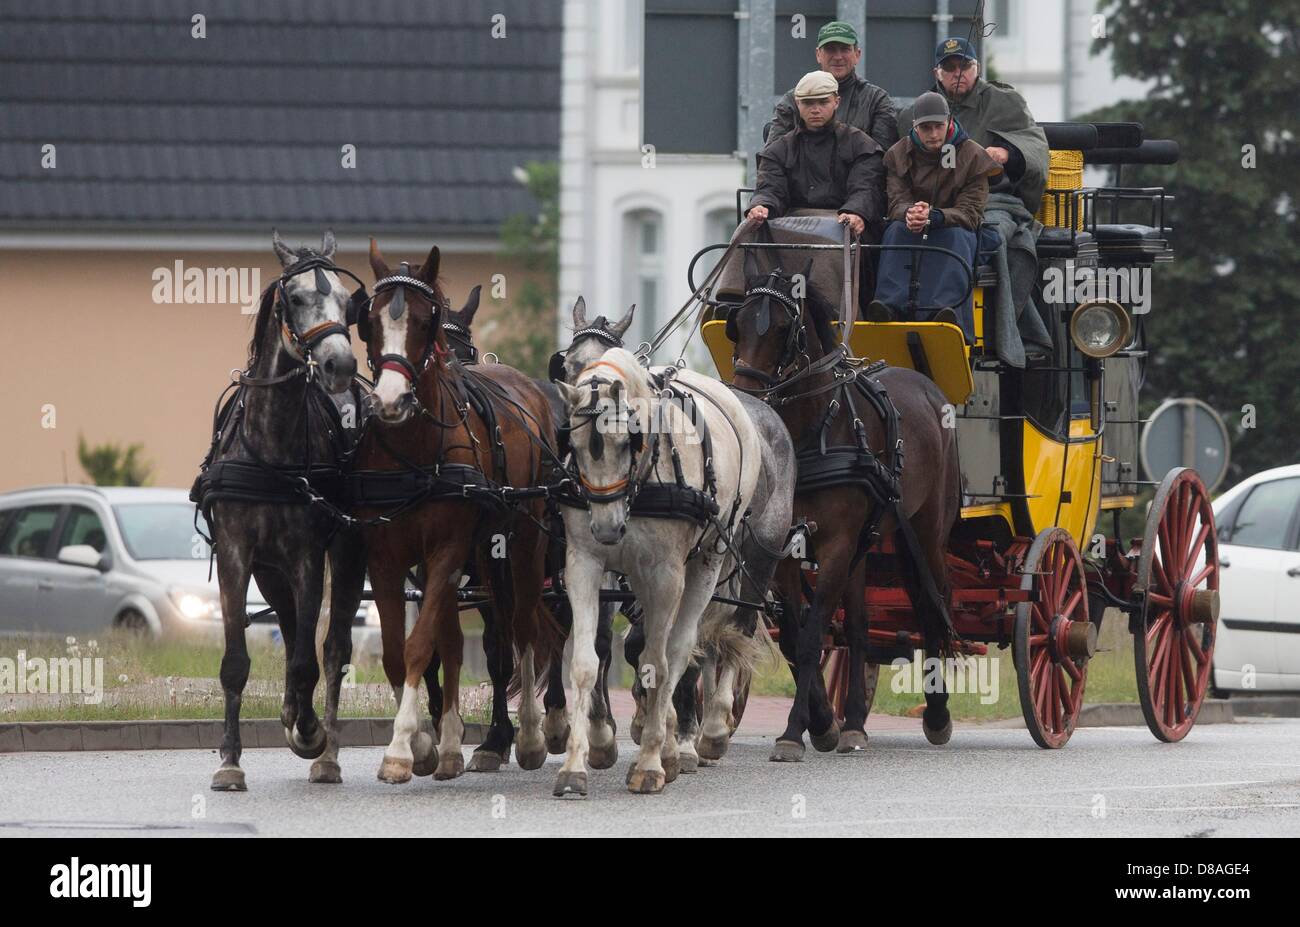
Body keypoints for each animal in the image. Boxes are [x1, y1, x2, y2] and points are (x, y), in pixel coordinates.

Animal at [192, 230, 367, 790]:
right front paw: (229, 761)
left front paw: (311, 732)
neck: (269, 446)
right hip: (269, 570)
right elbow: (236, 662)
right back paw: (293, 714)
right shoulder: (236, 555)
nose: (339, 365)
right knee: (291, 629)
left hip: (348, 553)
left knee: (331, 650)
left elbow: (309, 660)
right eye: (294, 297)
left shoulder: (308, 556)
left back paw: (325, 751)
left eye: (347, 300)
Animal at [350, 239, 561, 783]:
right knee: (500, 633)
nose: (390, 401)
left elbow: (425, 643)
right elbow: (403, 651)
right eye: (369, 320)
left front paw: (402, 748)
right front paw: (430, 743)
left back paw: (535, 734)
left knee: (526, 627)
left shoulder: (445, 551)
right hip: (488, 554)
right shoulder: (387, 559)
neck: (413, 449)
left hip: (527, 546)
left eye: (426, 321)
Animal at [554, 347, 763, 795]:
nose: (607, 528)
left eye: (626, 441)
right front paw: (574, 767)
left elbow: (659, 663)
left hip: (707, 561)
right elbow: (585, 662)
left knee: (679, 651)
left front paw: (651, 762)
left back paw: (672, 747)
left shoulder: (666, 575)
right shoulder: (584, 563)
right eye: (573, 445)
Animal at [727, 260, 961, 760]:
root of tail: (930, 389)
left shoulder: (835, 544)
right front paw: (820, 723)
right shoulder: (785, 547)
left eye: (784, 328)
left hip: (925, 532)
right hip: (867, 542)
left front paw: (793, 732)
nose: (746, 399)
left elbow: (814, 633)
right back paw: (852, 722)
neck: (814, 430)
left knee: (932, 604)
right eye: (737, 324)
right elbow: (798, 636)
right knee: (858, 628)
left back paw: (936, 714)